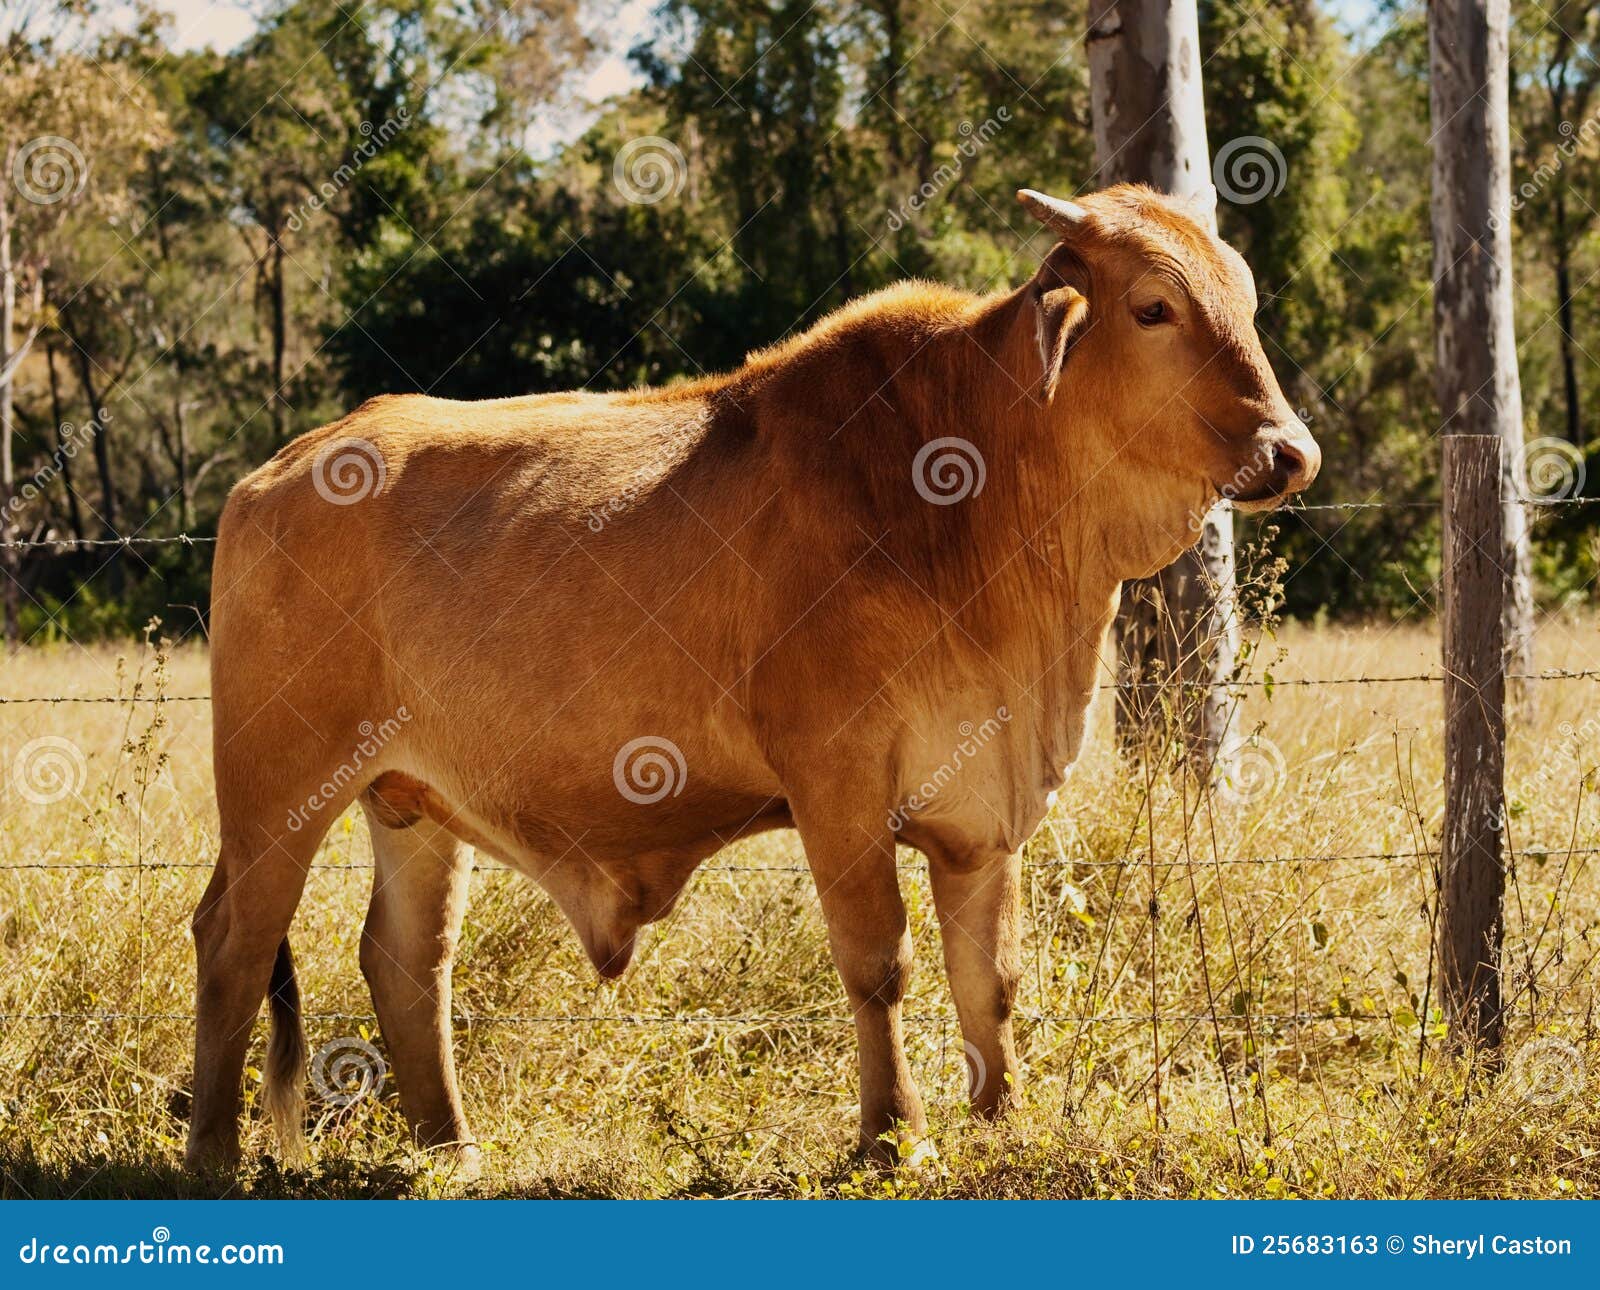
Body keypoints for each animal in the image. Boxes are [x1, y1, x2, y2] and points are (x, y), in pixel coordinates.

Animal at [185, 182, 1319, 1175]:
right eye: (1153, 306)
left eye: (1246, 301)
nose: (1290, 452)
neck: (977, 499)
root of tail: (288, 465)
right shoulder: (838, 783)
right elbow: (880, 963)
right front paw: (892, 1137)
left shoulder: (982, 808)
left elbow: (987, 980)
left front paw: (1003, 1124)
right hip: (278, 784)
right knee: (234, 941)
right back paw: (212, 1155)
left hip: (410, 799)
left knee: (406, 960)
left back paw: (451, 1149)